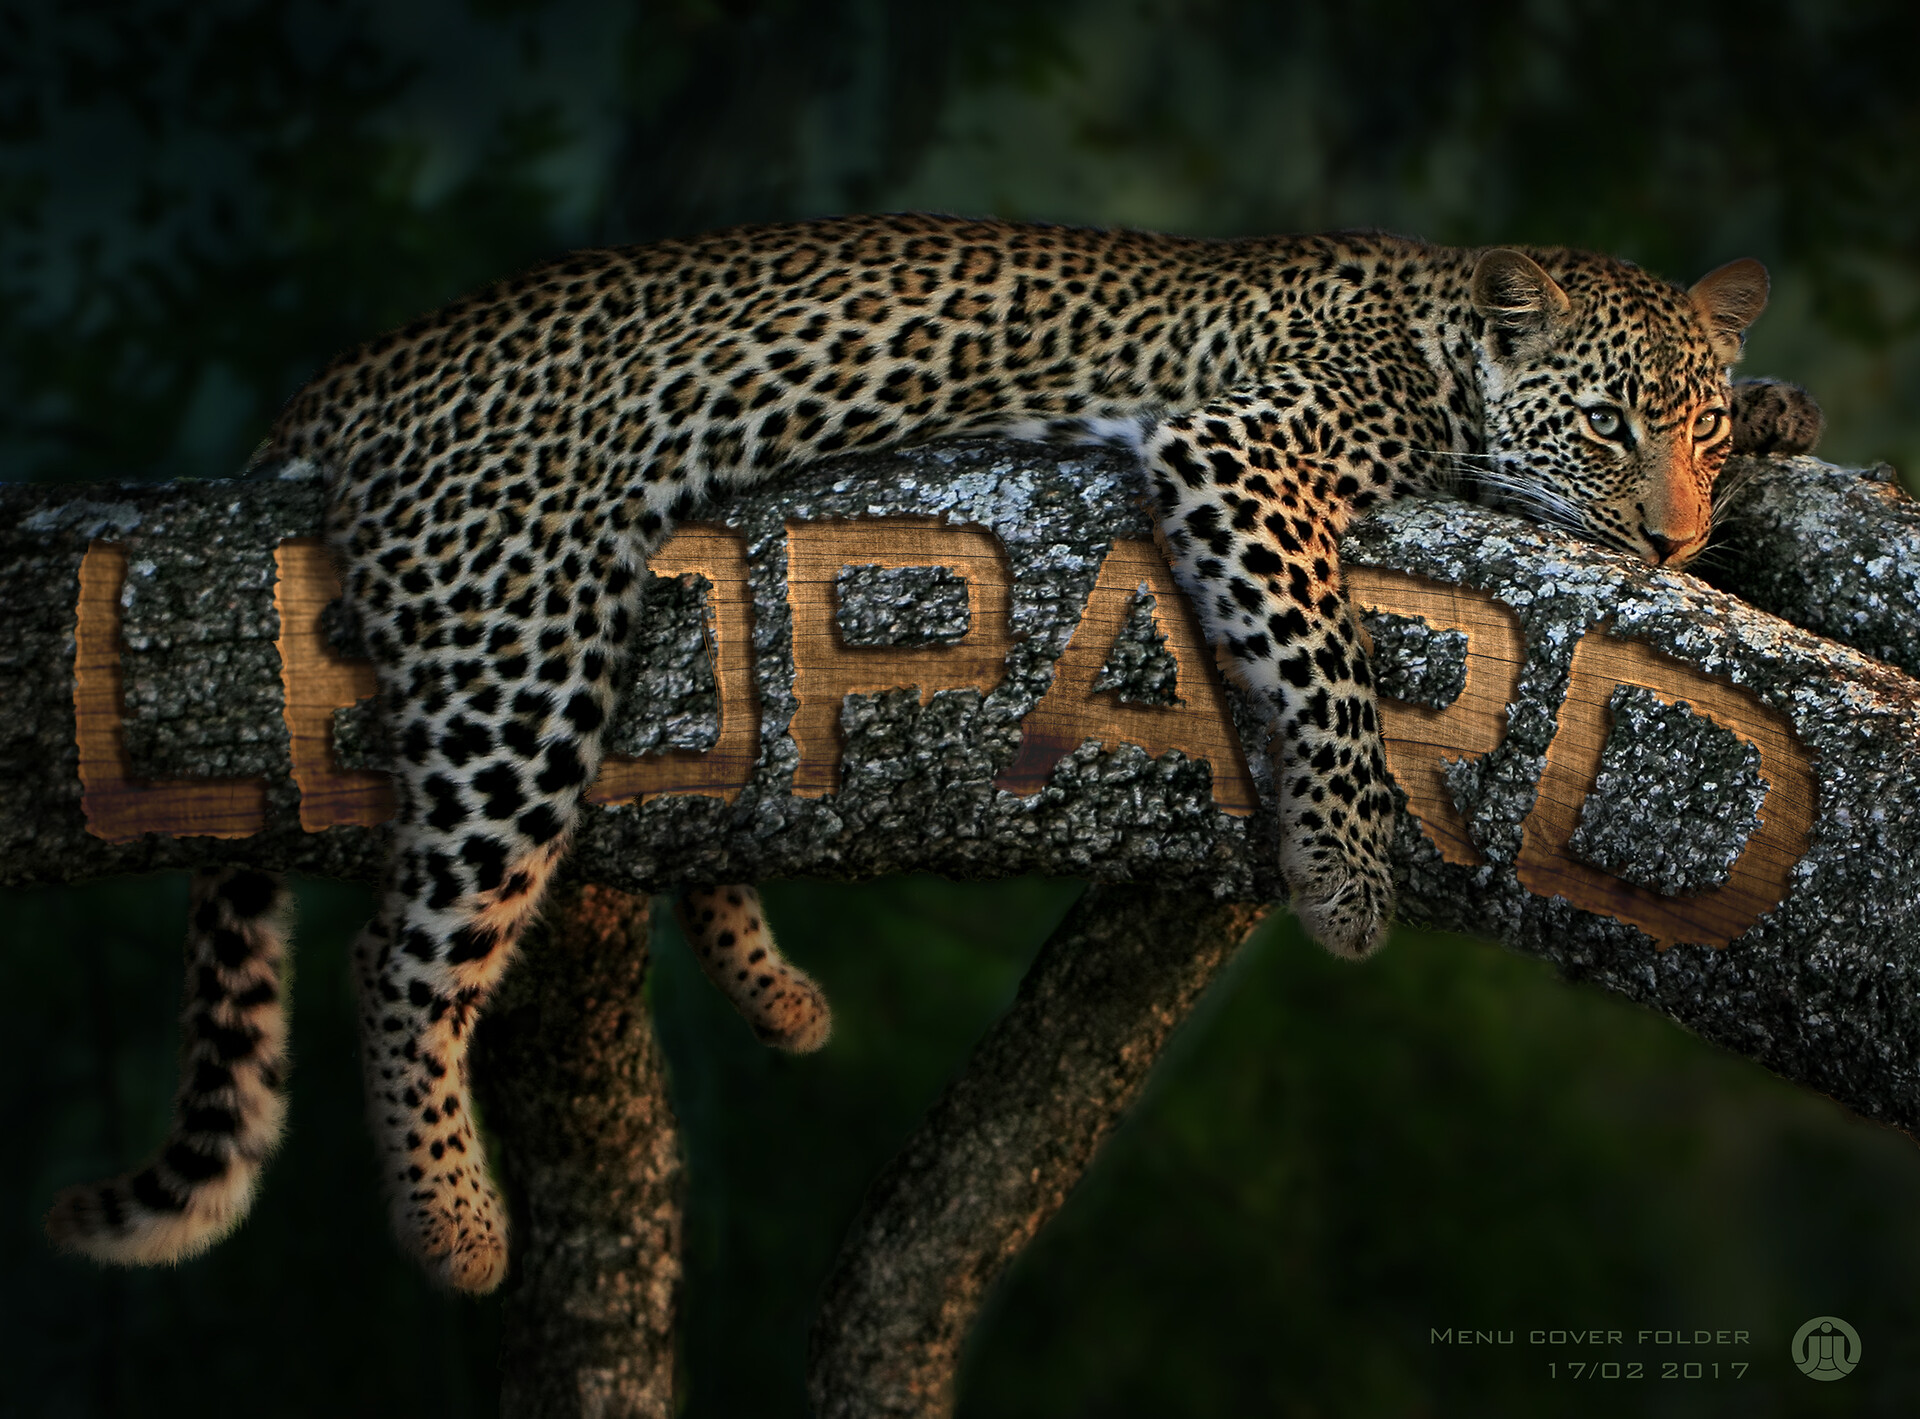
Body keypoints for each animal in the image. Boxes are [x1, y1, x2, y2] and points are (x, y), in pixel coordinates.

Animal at [44, 213, 1822, 1294]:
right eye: (1606, 423)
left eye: (1689, 427)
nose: (1671, 538)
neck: (1444, 331)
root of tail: (345, 378)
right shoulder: (1240, 451)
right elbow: (1325, 666)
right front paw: (1345, 868)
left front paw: (1786, 411)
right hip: (520, 633)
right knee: (405, 951)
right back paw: (458, 1222)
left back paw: (766, 994)